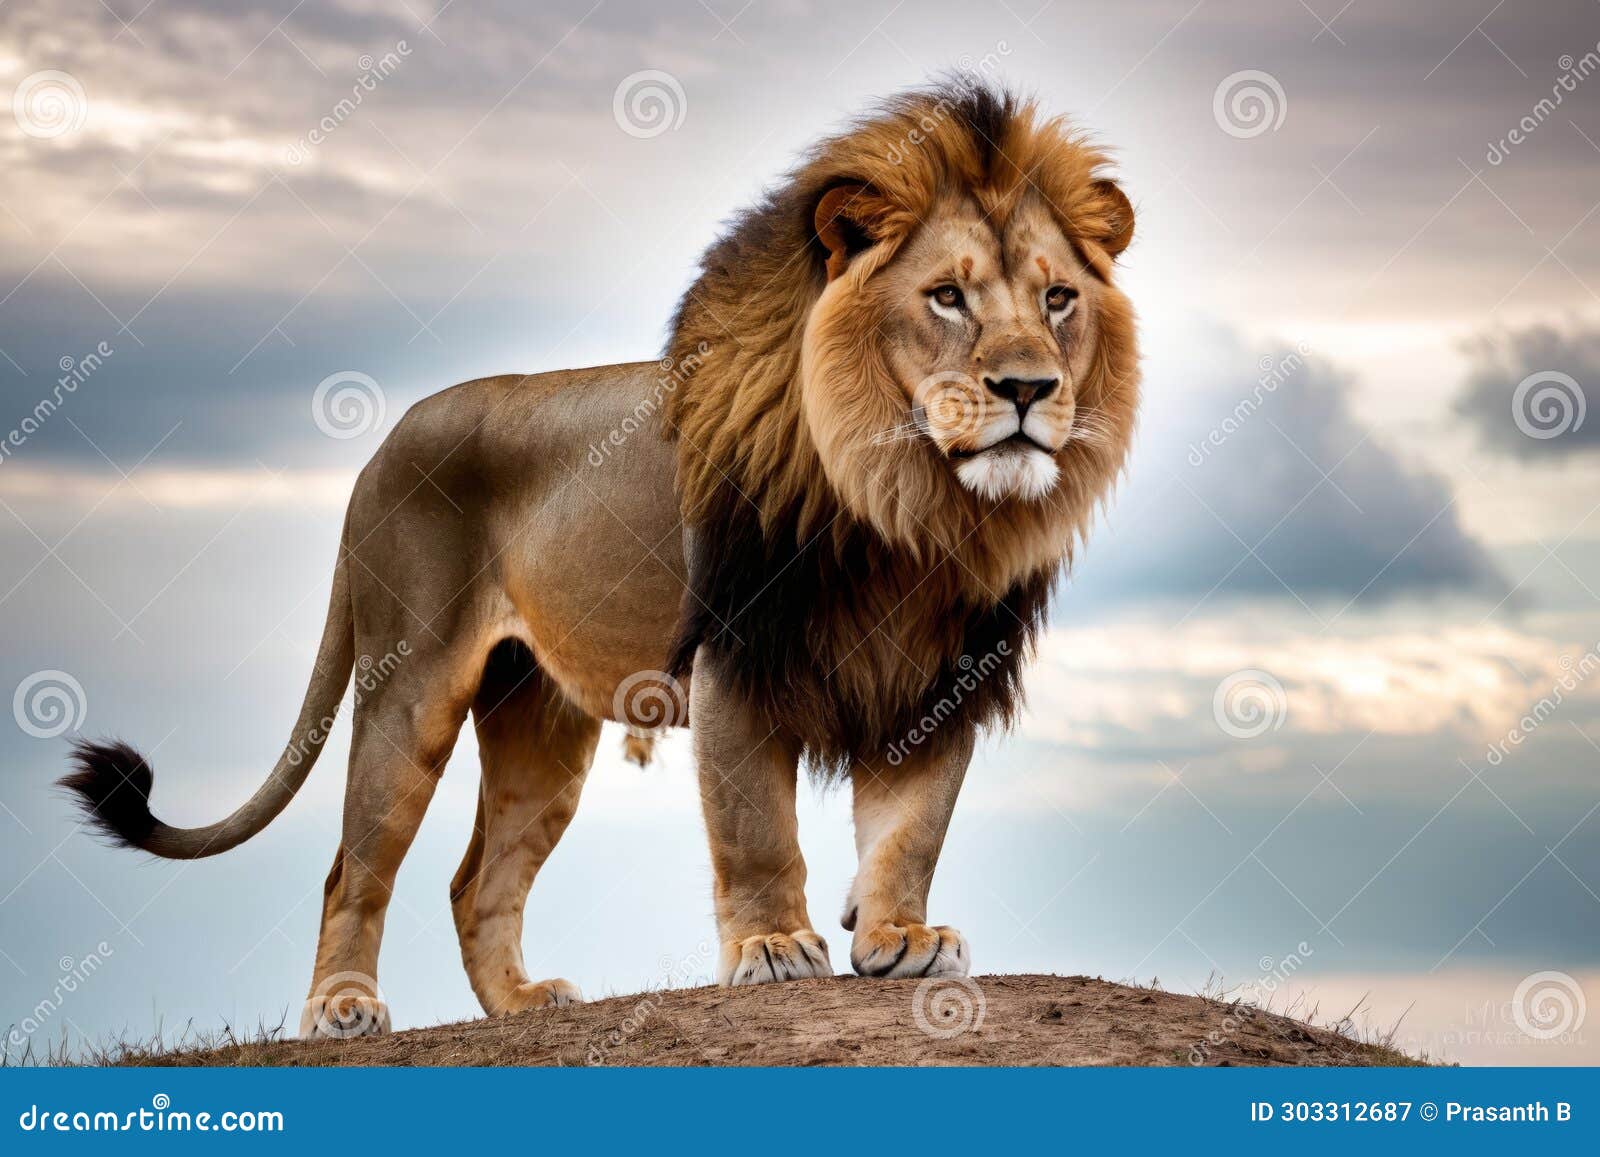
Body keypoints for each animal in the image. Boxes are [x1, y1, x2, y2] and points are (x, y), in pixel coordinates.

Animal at [60, 81, 1138, 1039]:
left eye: (1057, 298)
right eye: (946, 296)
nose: (1029, 388)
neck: (909, 505)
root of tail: (384, 444)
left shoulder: (945, 674)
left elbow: (912, 827)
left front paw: (902, 935)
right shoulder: (736, 654)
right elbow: (754, 824)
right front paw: (774, 947)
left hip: (537, 720)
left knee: (476, 879)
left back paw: (521, 1003)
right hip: (410, 679)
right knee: (354, 867)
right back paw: (342, 1009)